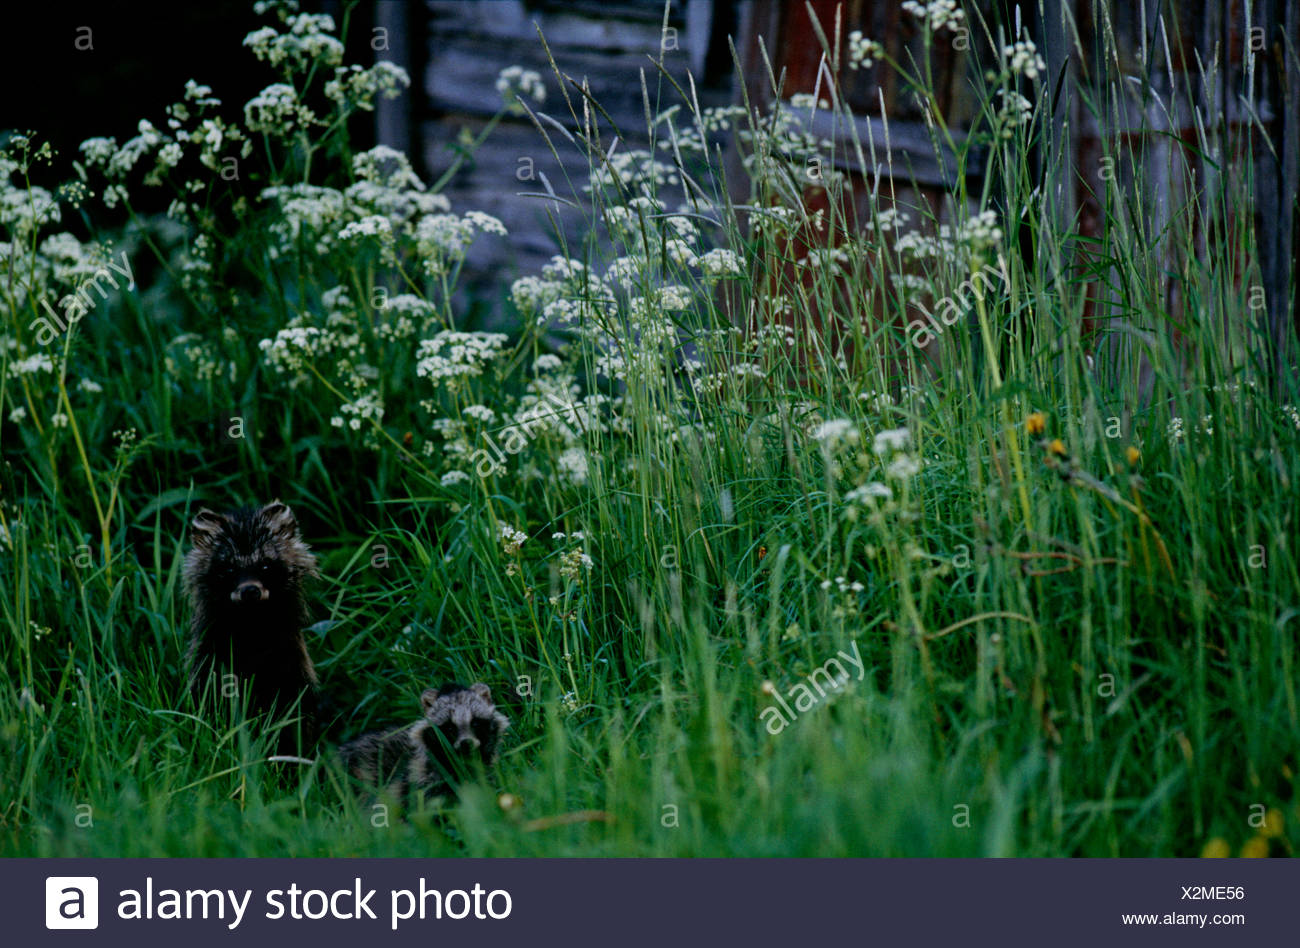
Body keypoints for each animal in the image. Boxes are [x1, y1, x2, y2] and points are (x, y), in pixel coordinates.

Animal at [183, 500, 320, 747]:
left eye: (265, 565)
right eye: (228, 568)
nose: (250, 591)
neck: (251, 622)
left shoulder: (291, 662)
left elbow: (294, 711)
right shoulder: (209, 658)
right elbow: (209, 701)